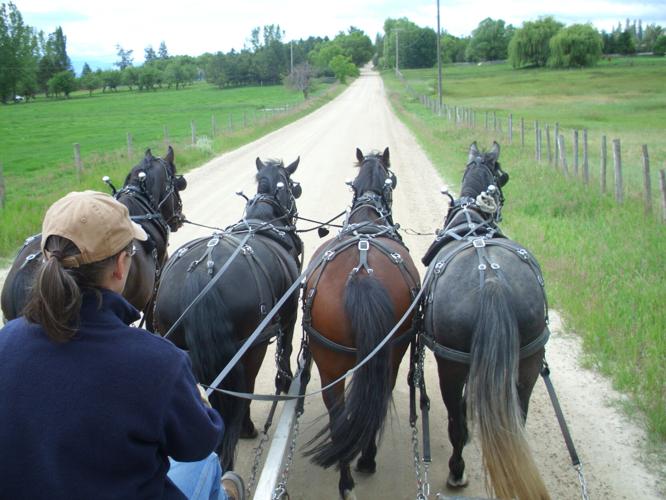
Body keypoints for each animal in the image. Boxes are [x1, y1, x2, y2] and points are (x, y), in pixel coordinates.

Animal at [152, 157, 303, 470]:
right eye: (293, 186)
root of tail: (203, 273)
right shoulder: (290, 312)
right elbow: (286, 348)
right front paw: (285, 381)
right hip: (252, 347)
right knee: (243, 391)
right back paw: (244, 428)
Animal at [302, 147, 420, 499]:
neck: (368, 219)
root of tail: (362, 272)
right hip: (390, 354)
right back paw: (364, 462)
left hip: (329, 359)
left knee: (340, 414)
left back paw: (345, 482)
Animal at [420, 142, 550, 500]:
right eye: (503, 175)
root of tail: (492, 280)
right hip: (528, 360)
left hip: (455, 365)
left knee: (458, 421)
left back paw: (456, 471)